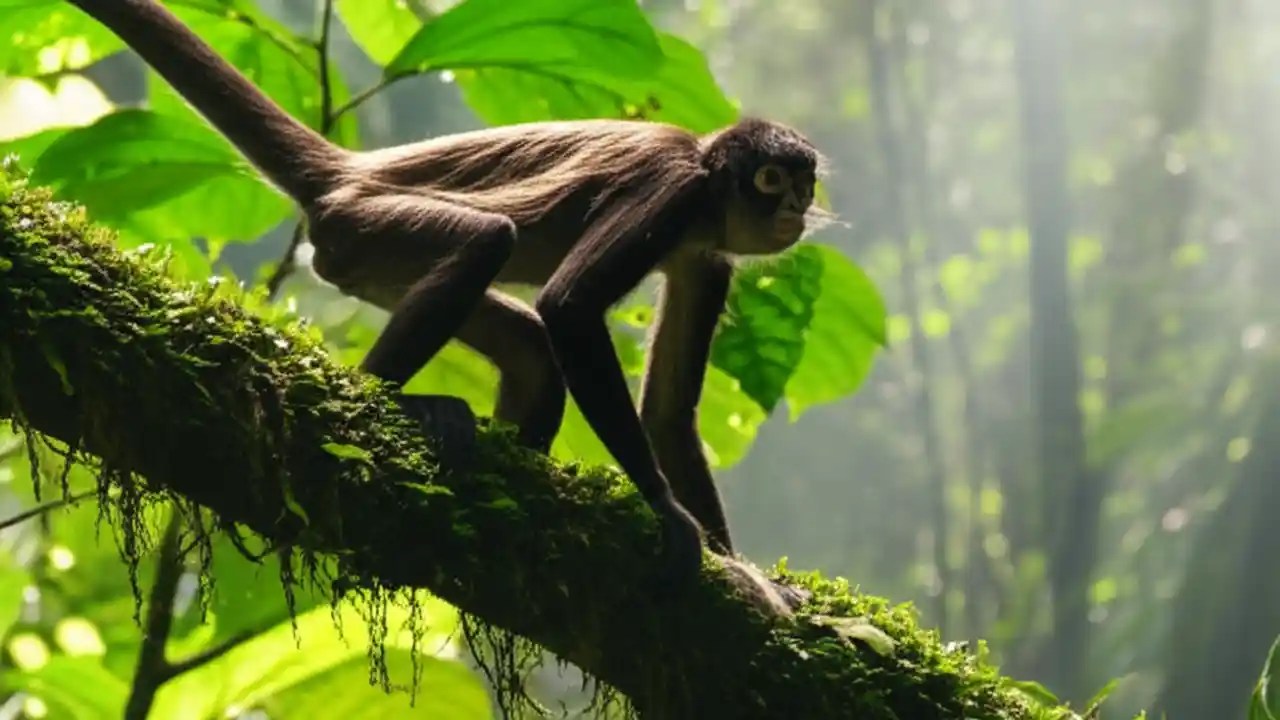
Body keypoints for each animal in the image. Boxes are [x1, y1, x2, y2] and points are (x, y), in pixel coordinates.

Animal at [63, 0, 827, 587]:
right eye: (770, 179)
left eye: (804, 179)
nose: (795, 205)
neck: (703, 173)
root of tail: (353, 172)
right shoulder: (675, 189)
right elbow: (569, 306)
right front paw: (666, 509)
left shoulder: (705, 256)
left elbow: (666, 411)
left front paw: (743, 571)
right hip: (368, 227)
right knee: (490, 240)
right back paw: (380, 401)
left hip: (367, 262)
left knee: (531, 351)